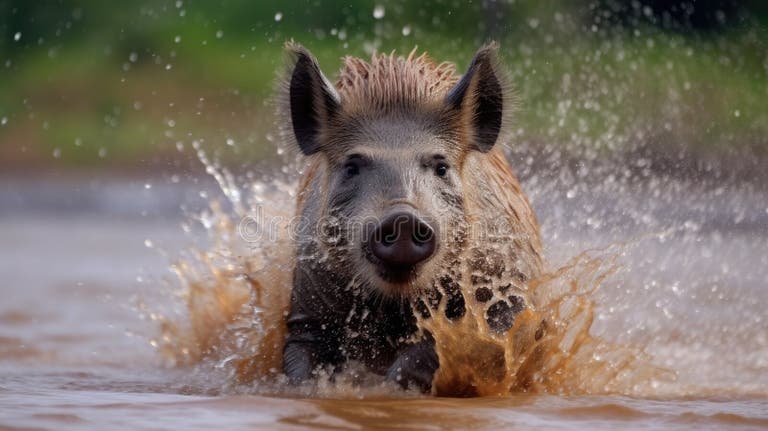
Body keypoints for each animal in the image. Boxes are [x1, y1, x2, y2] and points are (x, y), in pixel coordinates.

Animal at [278, 41, 543, 393]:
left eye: (441, 167)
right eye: (351, 167)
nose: (402, 218)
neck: (396, 309)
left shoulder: (510, 293)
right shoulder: (307, 307)